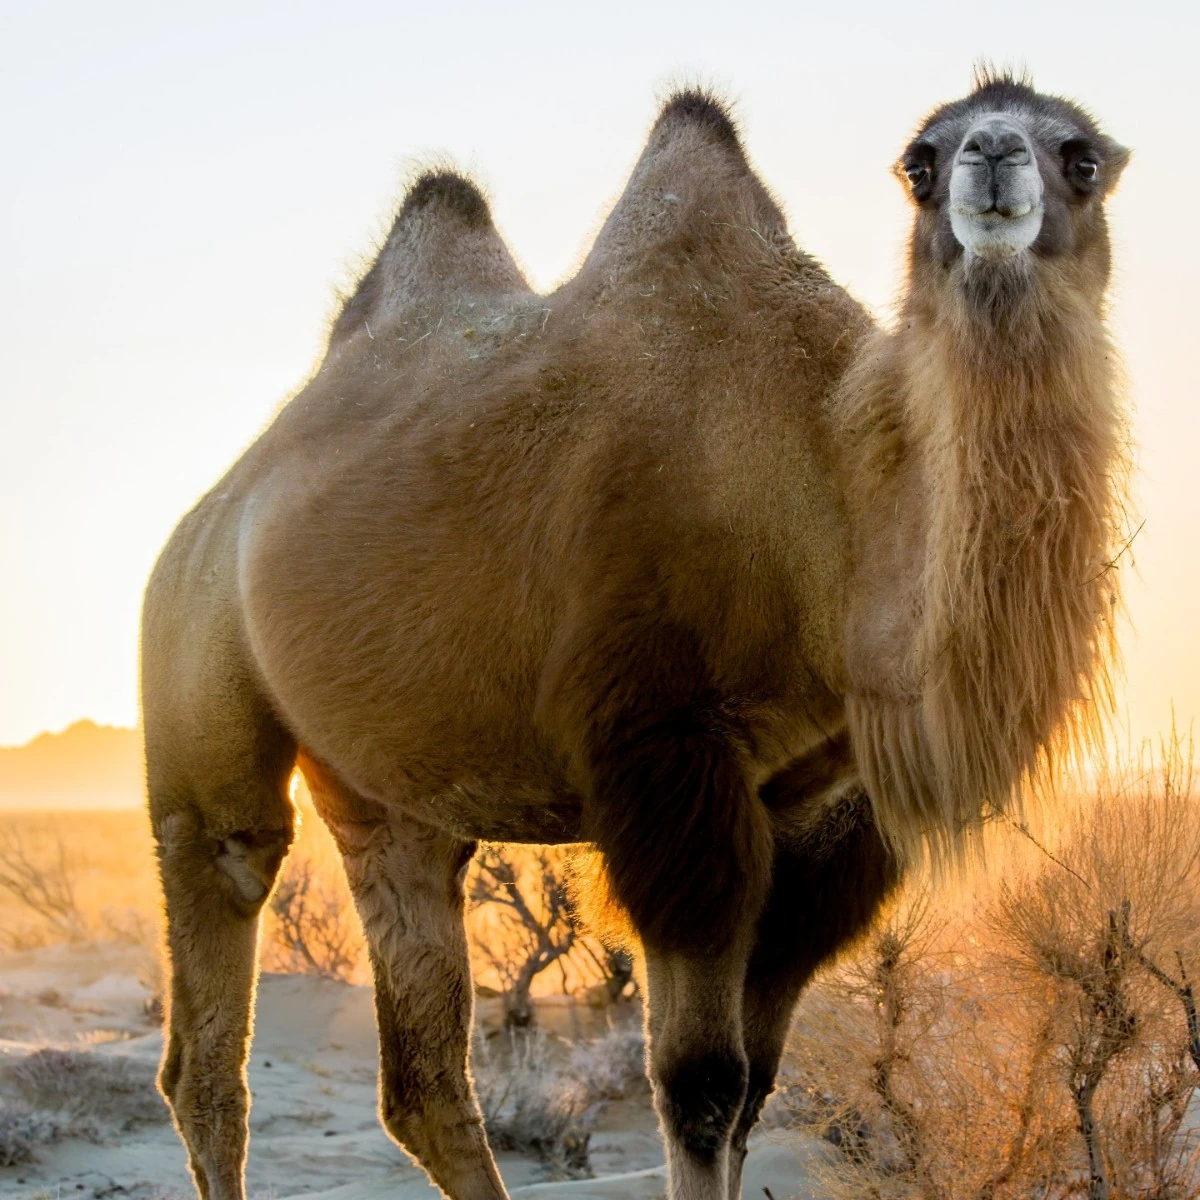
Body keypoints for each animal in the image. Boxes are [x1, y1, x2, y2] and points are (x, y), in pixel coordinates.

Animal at [141, 72, 1129, 1200]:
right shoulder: (670, 758)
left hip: (390, 793)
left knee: (422, 1061)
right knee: (216, 972)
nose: (993, 156)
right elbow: (699, 1086)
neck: (829, 503)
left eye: (1083, 155)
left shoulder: (825, 815)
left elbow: (755, 1090)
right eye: (918, 161)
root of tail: (219, 505)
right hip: (196, 657)